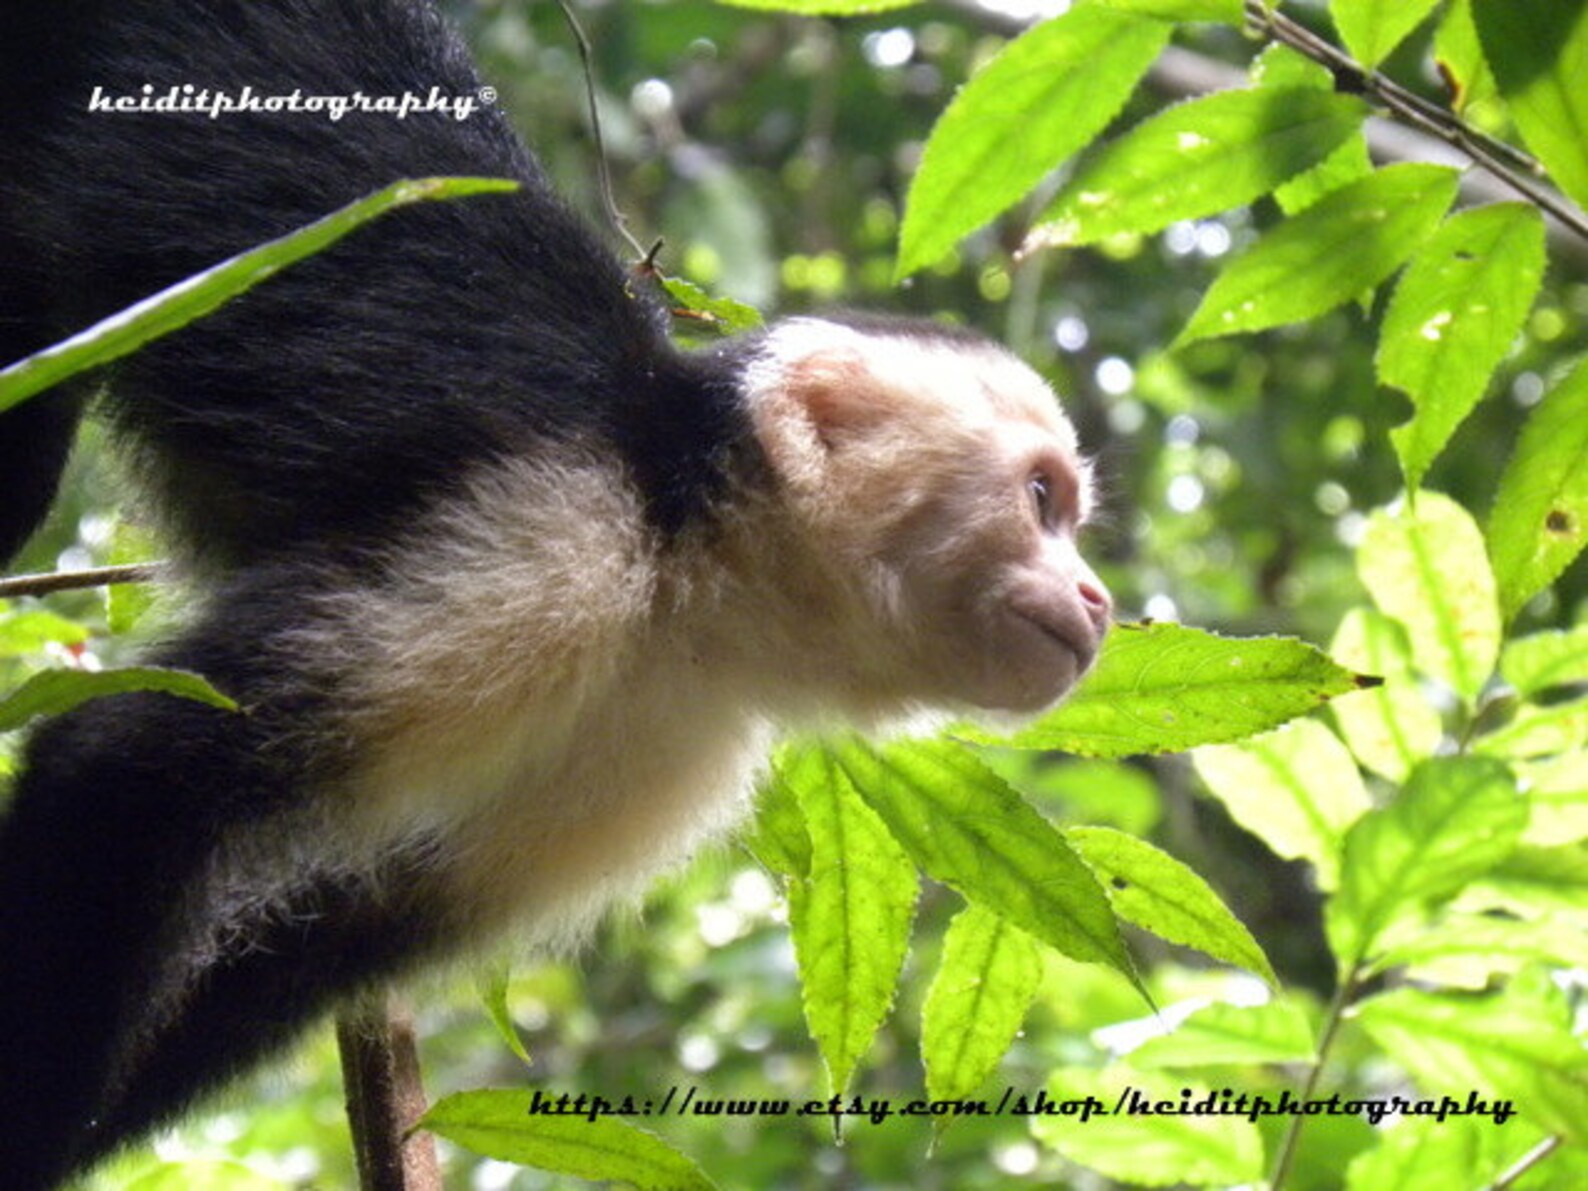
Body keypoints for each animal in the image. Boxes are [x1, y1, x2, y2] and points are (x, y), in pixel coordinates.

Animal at [0, 2, 1111, 1185]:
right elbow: (128, 763)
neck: (687, 579)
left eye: (1067, 513)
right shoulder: (552, 542)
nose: (1096, 597)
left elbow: (320, 944)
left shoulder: (663, 756)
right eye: (1041, 497)